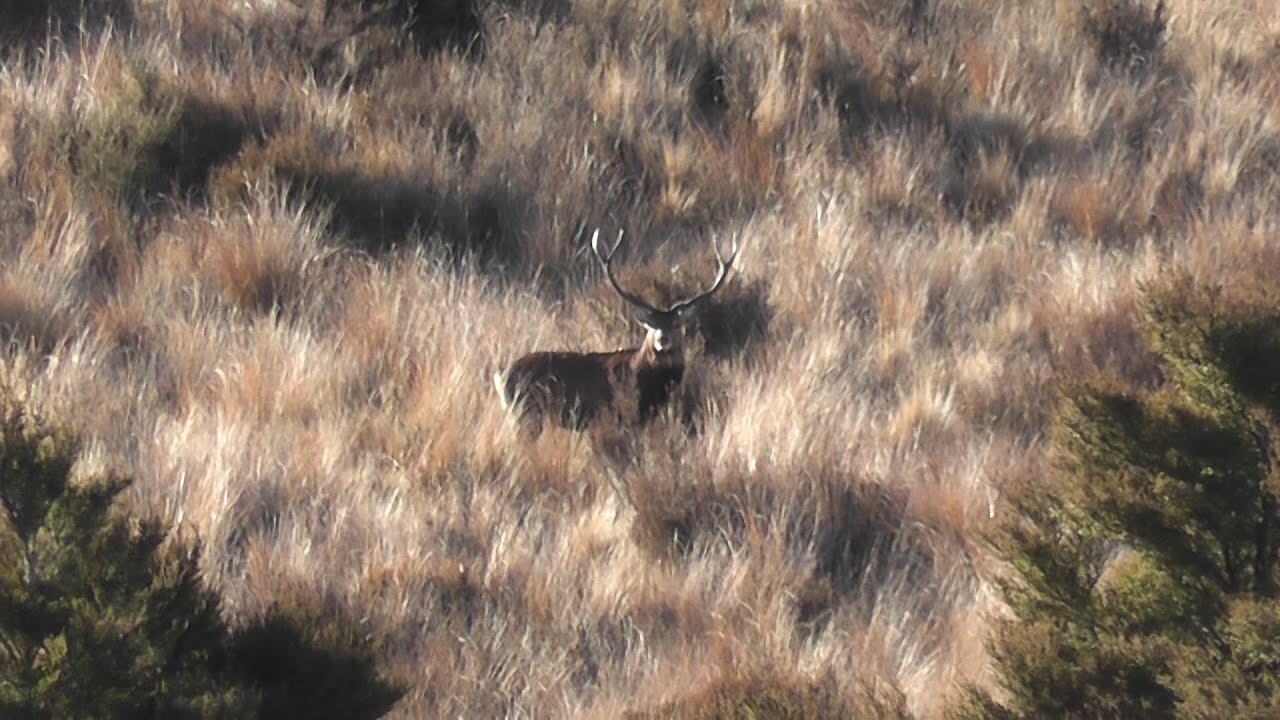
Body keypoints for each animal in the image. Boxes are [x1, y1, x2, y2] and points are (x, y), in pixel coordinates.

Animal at [494, 229, 739, 434]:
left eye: (677, 325)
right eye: (651, 326)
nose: (663, 339)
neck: (649, 385)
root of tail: (501, 376)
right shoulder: (621, 414)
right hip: (526, 414)